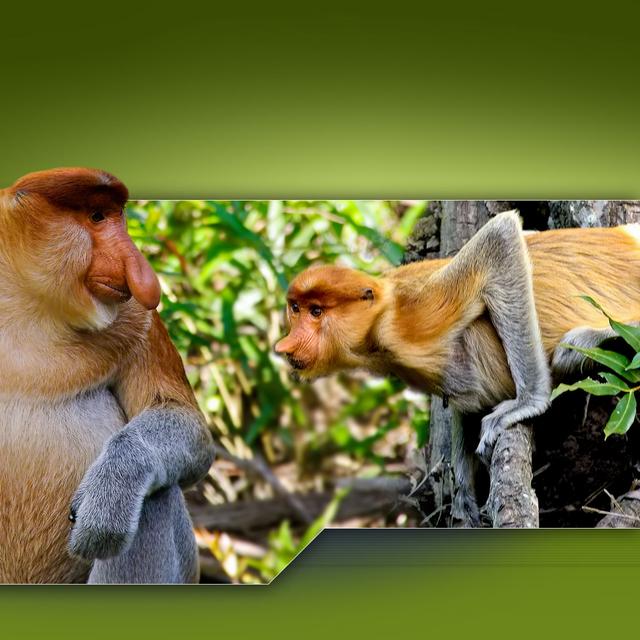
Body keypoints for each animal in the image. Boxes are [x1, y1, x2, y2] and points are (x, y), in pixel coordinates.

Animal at [0, 168, 215, 583]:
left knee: (156, 498)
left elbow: (187, 423)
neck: (28, 307)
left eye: (119, 216)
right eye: (97, 216)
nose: (142, 274)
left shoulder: (141, 321)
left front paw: (111, 493)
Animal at [275, 211, 640, 524]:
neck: (376, 320)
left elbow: (501, 238)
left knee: (568, 350)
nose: (284, 346)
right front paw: (463, 496)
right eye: (295, 308)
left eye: (316, 312)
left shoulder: (411, 319)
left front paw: (528, 403)